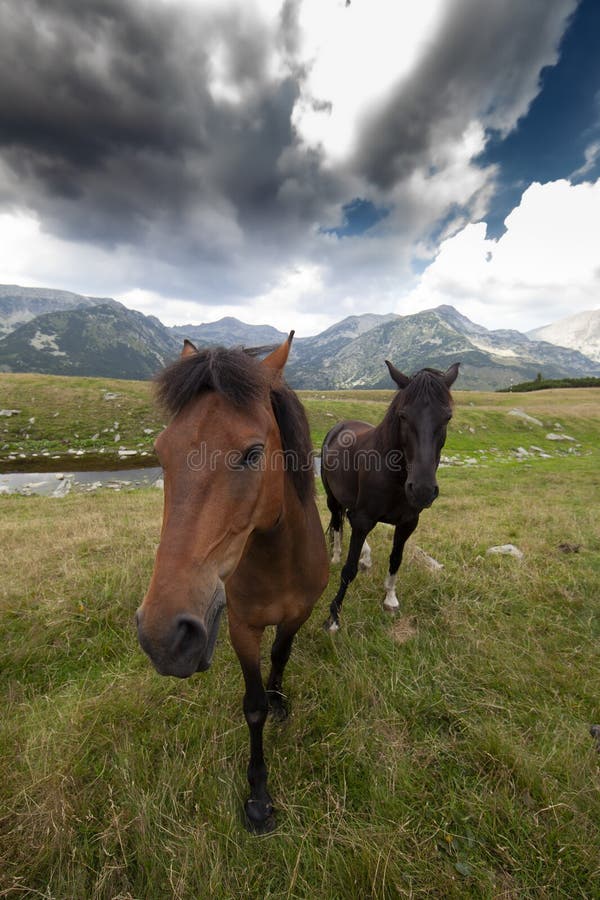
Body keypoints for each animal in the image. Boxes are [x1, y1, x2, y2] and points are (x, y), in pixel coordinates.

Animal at [136, 334, 329, 833]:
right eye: (161, 453)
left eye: (253, 453)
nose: (163, 636)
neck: (278, 562)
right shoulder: (242, 628)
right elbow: (252, 705)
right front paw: (258, 797)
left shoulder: (299, 614)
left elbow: (280, 657)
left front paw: (280, 699)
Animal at [321, 360, 459, 631]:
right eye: (403, 416)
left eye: (447, 417)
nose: (423, 490)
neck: (394, 476)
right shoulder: (364, 518)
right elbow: (348, 569)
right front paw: (333, 616)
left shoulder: (408, 523)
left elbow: (396, 559)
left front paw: (390, 599)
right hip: (333, 498)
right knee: (338, 523)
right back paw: (336, 554)